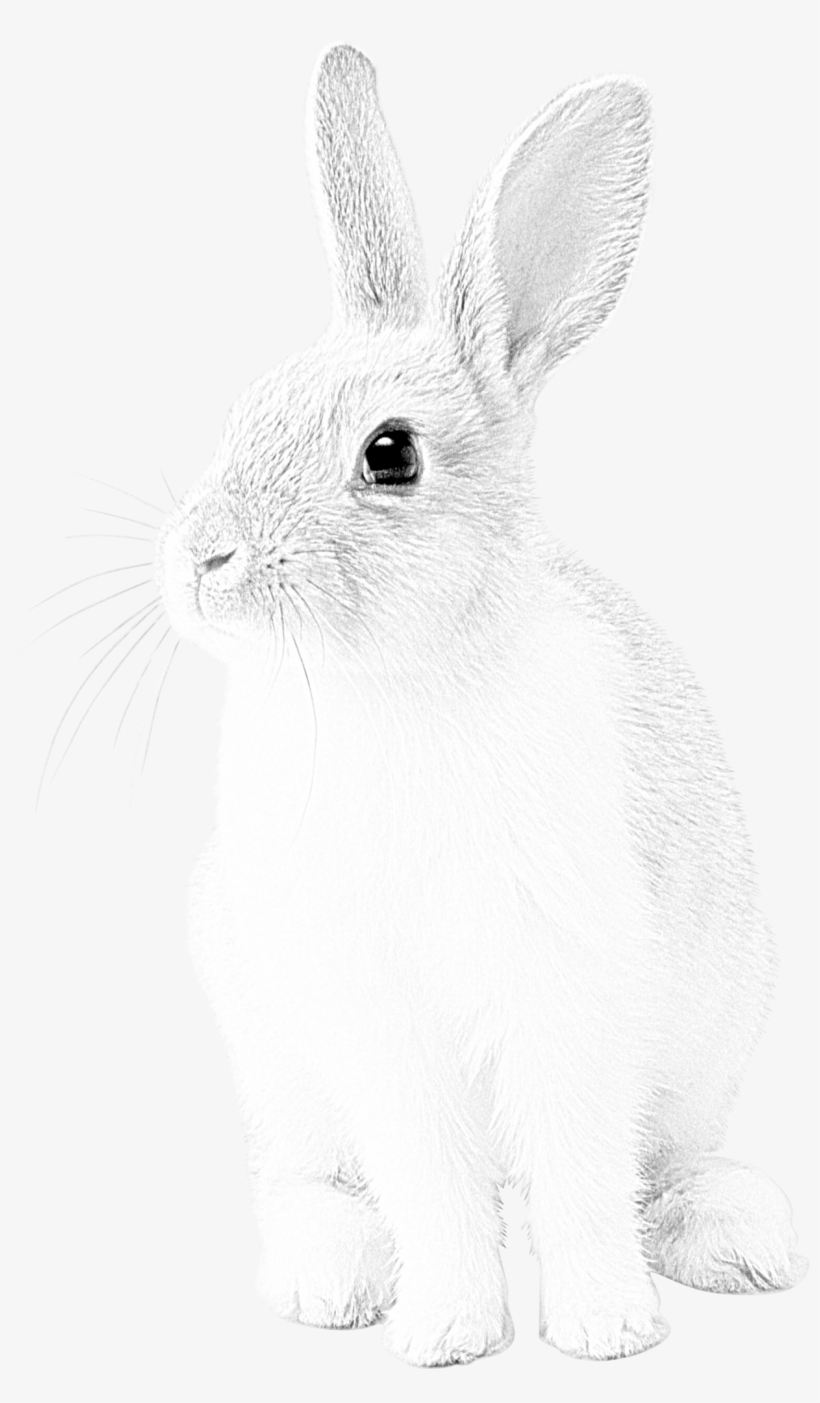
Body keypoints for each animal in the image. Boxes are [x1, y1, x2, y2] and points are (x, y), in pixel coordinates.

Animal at [156, 44, 807, 1366]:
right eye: (248, 405)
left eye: (390, 454)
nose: (201, 559)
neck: (402, 678)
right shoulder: (379, 1016)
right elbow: (432, 1181)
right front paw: (449, 1331)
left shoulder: (569, 984)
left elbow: (577, 1171)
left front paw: (605, 1329)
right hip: (278, 1052)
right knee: (312, 1179)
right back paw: (331, 1278)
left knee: (658, 1167)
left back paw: (739, 1238)